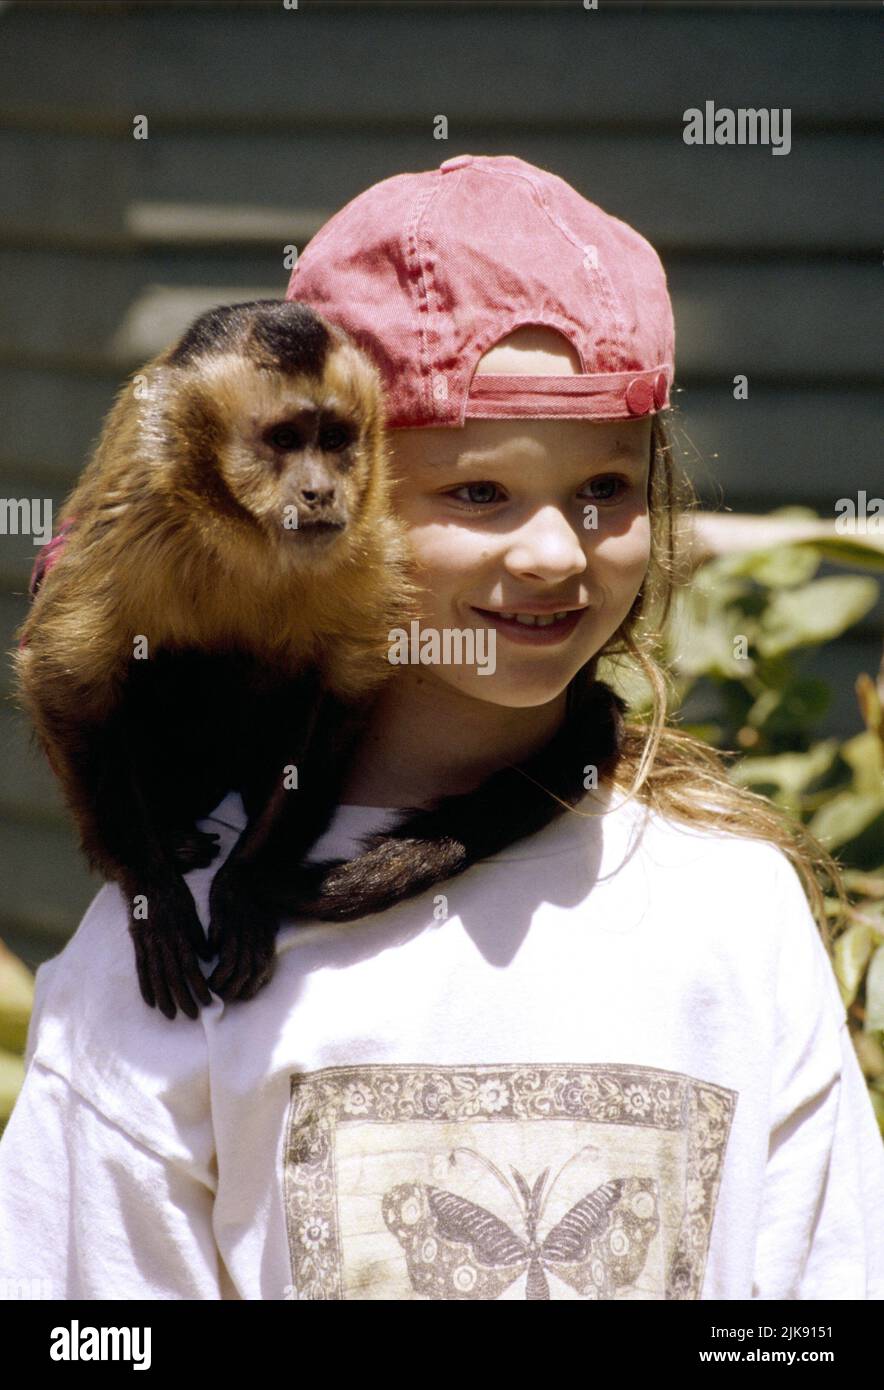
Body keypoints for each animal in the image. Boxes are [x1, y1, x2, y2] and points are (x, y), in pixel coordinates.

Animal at [12, 299, 420, 1020]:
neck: (246, 536)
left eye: (335, 439)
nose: (320, 492)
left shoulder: (365, 537)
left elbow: (349, 686)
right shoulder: (145, 504)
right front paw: (151, 889)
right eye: (285, 439)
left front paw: (247, 886)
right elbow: (63, 671)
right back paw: (166, 833)